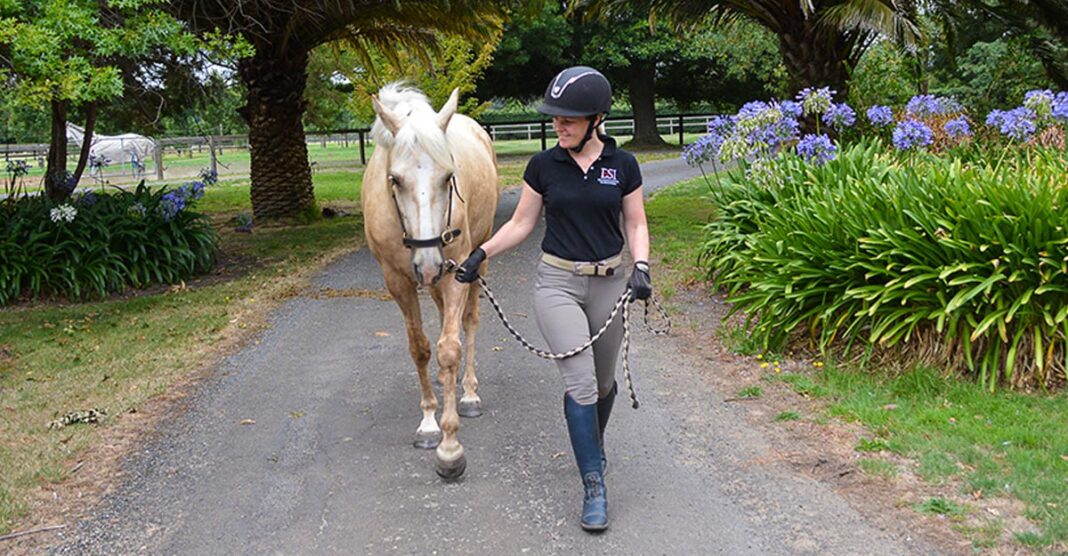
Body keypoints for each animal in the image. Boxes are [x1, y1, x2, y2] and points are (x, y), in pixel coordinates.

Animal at [362, 83, 499, 480]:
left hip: (476, 260)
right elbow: (420, 348)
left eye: (447, 176)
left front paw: (450, 446)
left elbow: (450, 348)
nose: (427, 262)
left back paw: (467, 392)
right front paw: (428, 423)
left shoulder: (457, 272)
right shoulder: (398, 282)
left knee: (468, 323)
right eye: (395, 179)